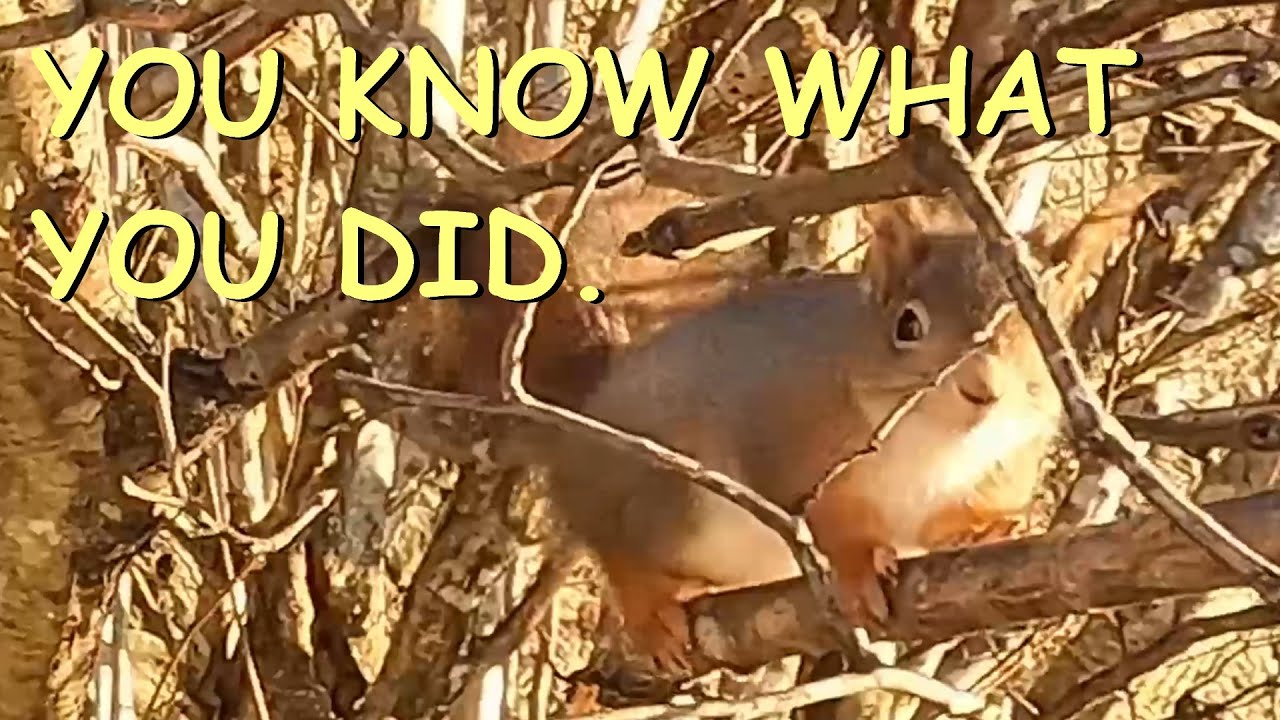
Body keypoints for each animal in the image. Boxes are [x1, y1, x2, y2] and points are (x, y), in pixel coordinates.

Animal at [540, 206, 1066, 673]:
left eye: (1038, 325)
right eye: (907, 324)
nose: (983, 389)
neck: (940, 443)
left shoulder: (1006, 460)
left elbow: (951, 520)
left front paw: (984, 528)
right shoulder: (795, 444)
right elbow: (826, 519)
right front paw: (858, 566)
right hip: (661, 498)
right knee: (618, 549)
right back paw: (650, 611)